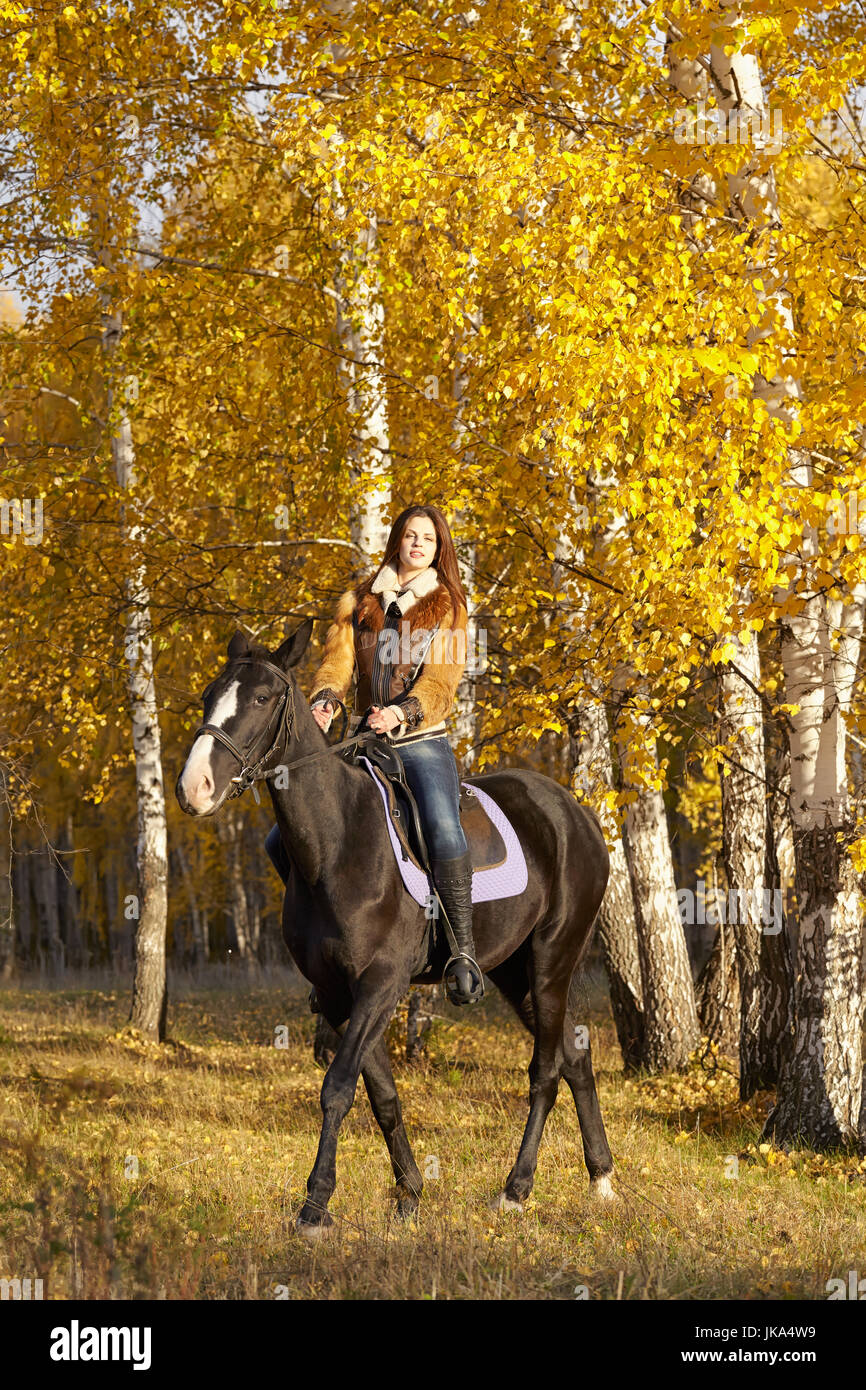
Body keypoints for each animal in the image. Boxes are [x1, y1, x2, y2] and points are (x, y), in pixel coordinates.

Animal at [176, 622, 616, 1236]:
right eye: (207, 696)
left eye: (262, 698)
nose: (193, 788)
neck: (338, 842)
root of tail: (577, 815)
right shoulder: (340, 995)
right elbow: (380, 1095)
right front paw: (410, 1192)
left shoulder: (381, 985)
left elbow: (338, 1087)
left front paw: (315, 1205)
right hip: (513, 972)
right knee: (575, 1055)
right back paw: (601, 1179)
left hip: (552, 962)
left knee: (546, 1070)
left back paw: (517, 1189)